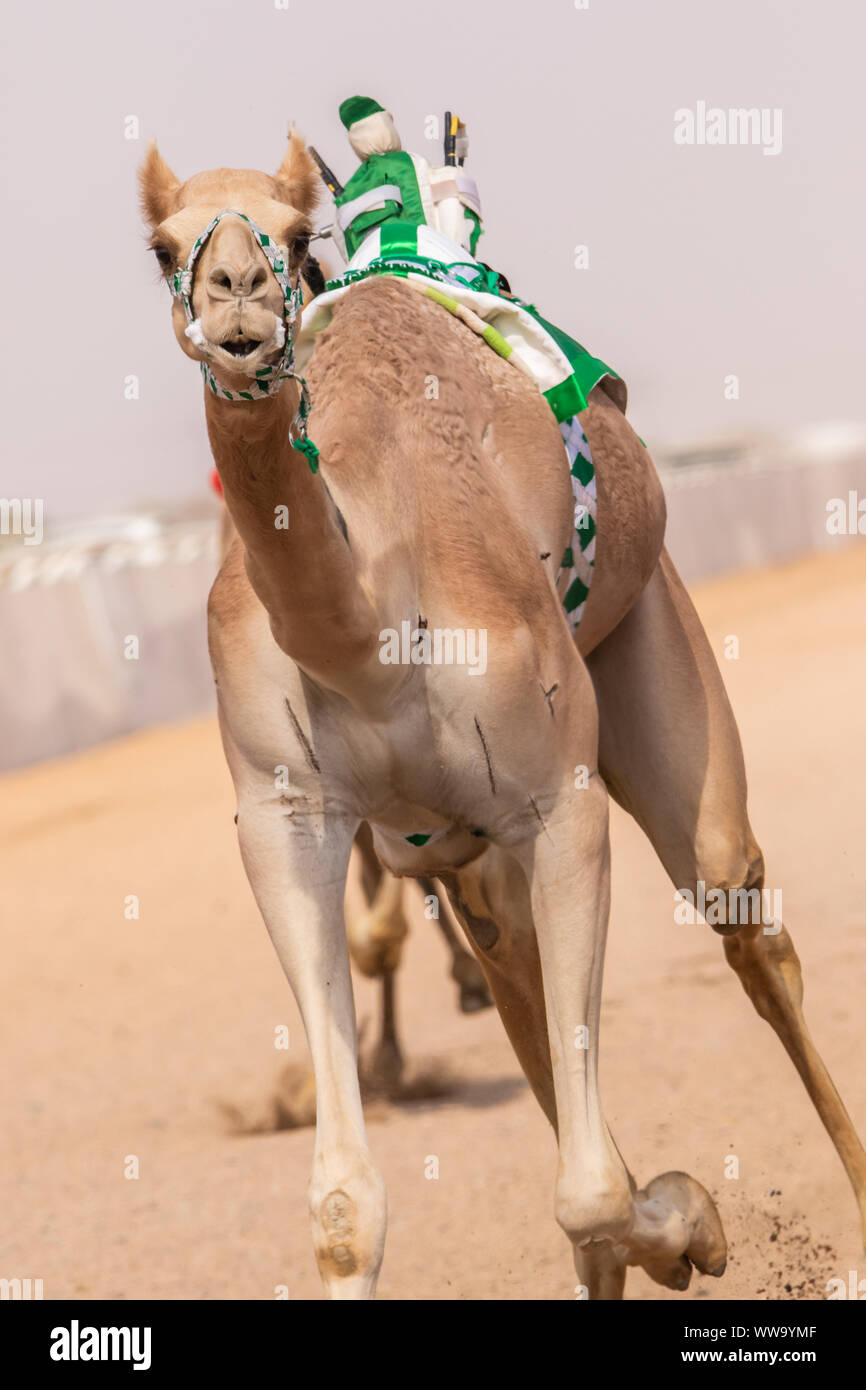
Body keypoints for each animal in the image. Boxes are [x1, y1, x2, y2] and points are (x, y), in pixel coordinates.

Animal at [139, 130, 866, 1299]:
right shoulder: (287, 821)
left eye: (293, 237)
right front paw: (684, 1220)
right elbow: (348, 1206)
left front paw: (692, 1220)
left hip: (644, 626)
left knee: (743, 916)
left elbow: (591, 1192)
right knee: (517, 983)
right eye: (163, 245)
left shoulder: (555, 799)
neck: (371, 630)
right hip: (459, 850)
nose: (237, 294)